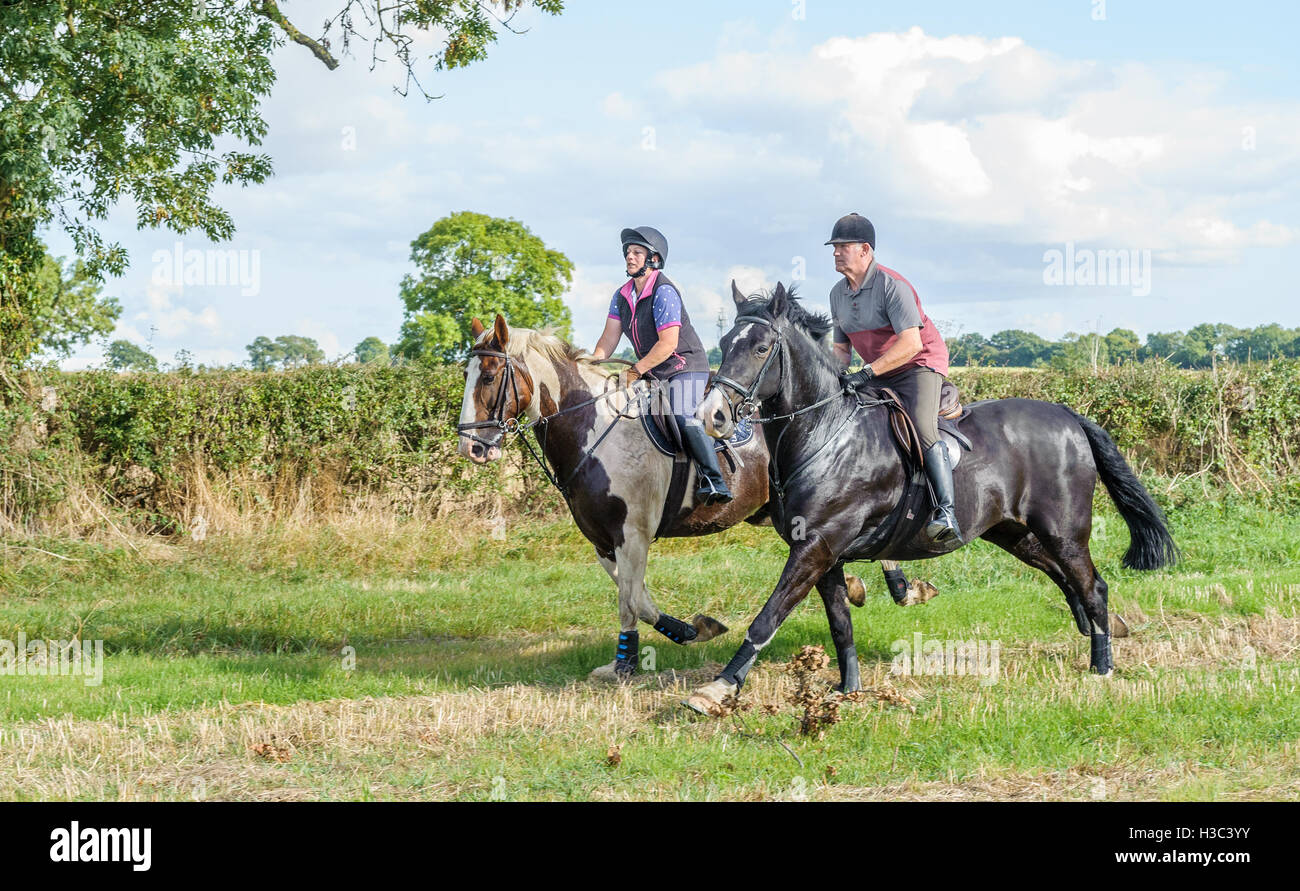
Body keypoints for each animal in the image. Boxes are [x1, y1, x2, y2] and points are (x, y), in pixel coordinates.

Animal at [455, 314, 929, 681]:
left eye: (491, 376)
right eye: (465, 376)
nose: (471, 448)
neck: (594, 427)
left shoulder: (633, 533)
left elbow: (630, 601)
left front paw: (625, 664)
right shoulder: (602, 541)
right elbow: (640, 600)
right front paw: (692, 630)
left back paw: (901, 586)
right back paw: (868, 586)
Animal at [682, 282, 1179, 715]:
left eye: (761, 347)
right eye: (725, 342)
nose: (711, 417)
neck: (825, 434)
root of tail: (1069, 416)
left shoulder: (816, 547)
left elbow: (768, 617)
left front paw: (715, 690)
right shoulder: (825, 554)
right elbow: (840, 624)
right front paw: (849, 689)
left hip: (1063, 530)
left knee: (1091, 584)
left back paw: (1102, 665)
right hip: (1013, 532)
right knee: (1066, 577)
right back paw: (1101, 631)